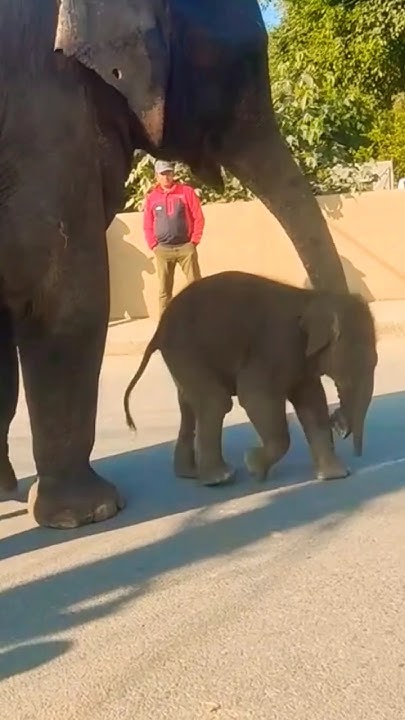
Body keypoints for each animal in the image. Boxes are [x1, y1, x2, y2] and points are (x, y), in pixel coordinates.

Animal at [124, 271, 378, 486]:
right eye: (361, 359)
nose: (340, 423)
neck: (312, 298)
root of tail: (158, 330)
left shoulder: (301, 360)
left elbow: (312, 402)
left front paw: (336, 475)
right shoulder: (276, 345)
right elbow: (255, 396)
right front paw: (253, 466)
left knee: (189, 405)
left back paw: (191, 474)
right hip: (185, 349)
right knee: (215, 402)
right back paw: (221, 478)